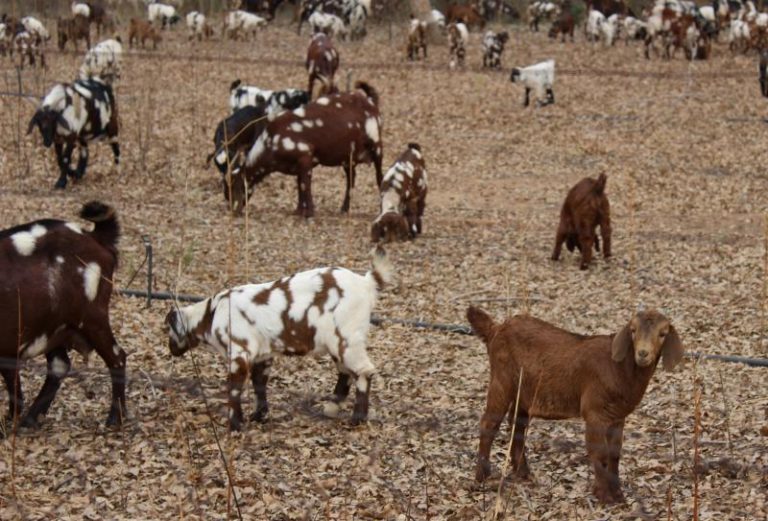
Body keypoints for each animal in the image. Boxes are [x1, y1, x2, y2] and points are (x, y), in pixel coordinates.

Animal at [0, 202, 126, 433]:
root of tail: (95, 237)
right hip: (54, 326)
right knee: (60, 366)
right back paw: (31, 418)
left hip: (92, 318)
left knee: (117, 358)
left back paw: (115, 418)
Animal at [166, 247, 393, 431]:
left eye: (168, 328)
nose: (171, 350)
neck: (213, 313)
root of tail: (366, 282)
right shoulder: (263, 355)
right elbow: (259, 384)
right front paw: (259, 416)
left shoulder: (239, 353)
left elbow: (234, 389)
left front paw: (235, 425)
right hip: (339, 342)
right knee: (345, 372)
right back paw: (332, 408)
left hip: (346, 339)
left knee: (363, 372)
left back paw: (358, 418)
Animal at [228, 82, 383, 217]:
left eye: (236, 186)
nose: (234, 211)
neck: (271, 140)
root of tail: (371, 102)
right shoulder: (298, 166)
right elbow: (299, 185)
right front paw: (298, 211)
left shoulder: (305, 158)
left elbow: (304, 186)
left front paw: (309, 213)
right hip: (348, 157)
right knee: (351, 180)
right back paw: (344, 209)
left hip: (376, 146)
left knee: (379, 177)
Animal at [467, 306, 684, 504]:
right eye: (633, 330)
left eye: (663, 334)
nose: (643, 354)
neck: (619, 368)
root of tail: (496, 329)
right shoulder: (595, 412)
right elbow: (600, 453)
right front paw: (605, 497)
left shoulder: (617, 416)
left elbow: (614, 454)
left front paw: (618, 495)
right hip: (502, 379)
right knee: (489, 423)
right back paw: (482, 477)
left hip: (525, 392)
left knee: (517, 426)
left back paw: (523, 473)